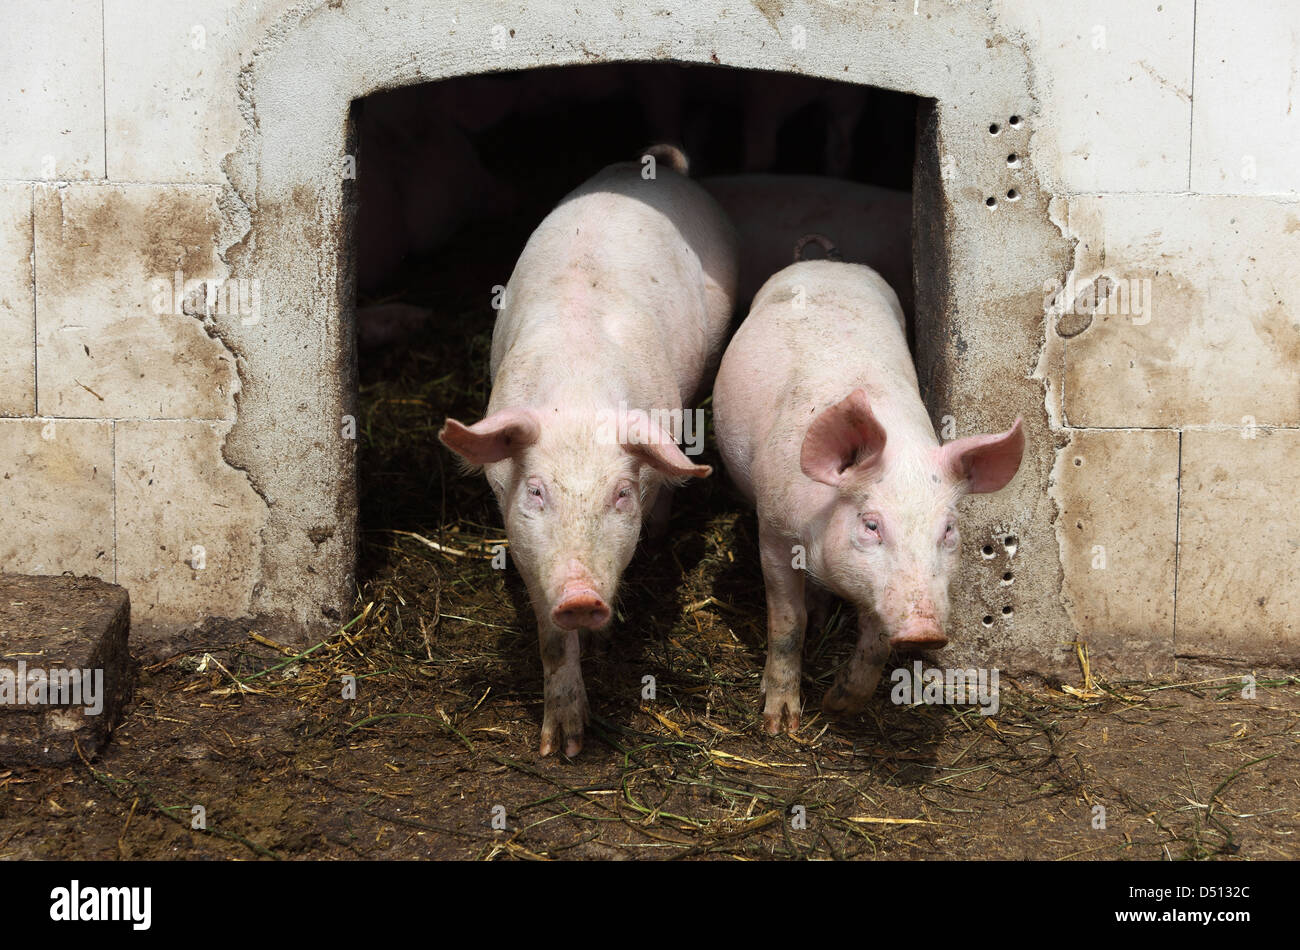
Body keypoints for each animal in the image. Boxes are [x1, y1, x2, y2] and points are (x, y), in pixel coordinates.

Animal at [438, 146, 738, 756]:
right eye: (535, 490)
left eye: (620, 494)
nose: (580, 596)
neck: (577, 393)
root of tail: (657, 166)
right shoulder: (517, 529)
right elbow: (550, 638)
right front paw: (563, 747)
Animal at [711, 258, 1023, 735]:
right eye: (871, 525)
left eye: (948, 529)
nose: (925, 629)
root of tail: (828, 262)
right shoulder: (774, 530)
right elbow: (787, 623)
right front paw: (780, 724)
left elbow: (876, 640)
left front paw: (839, 705)